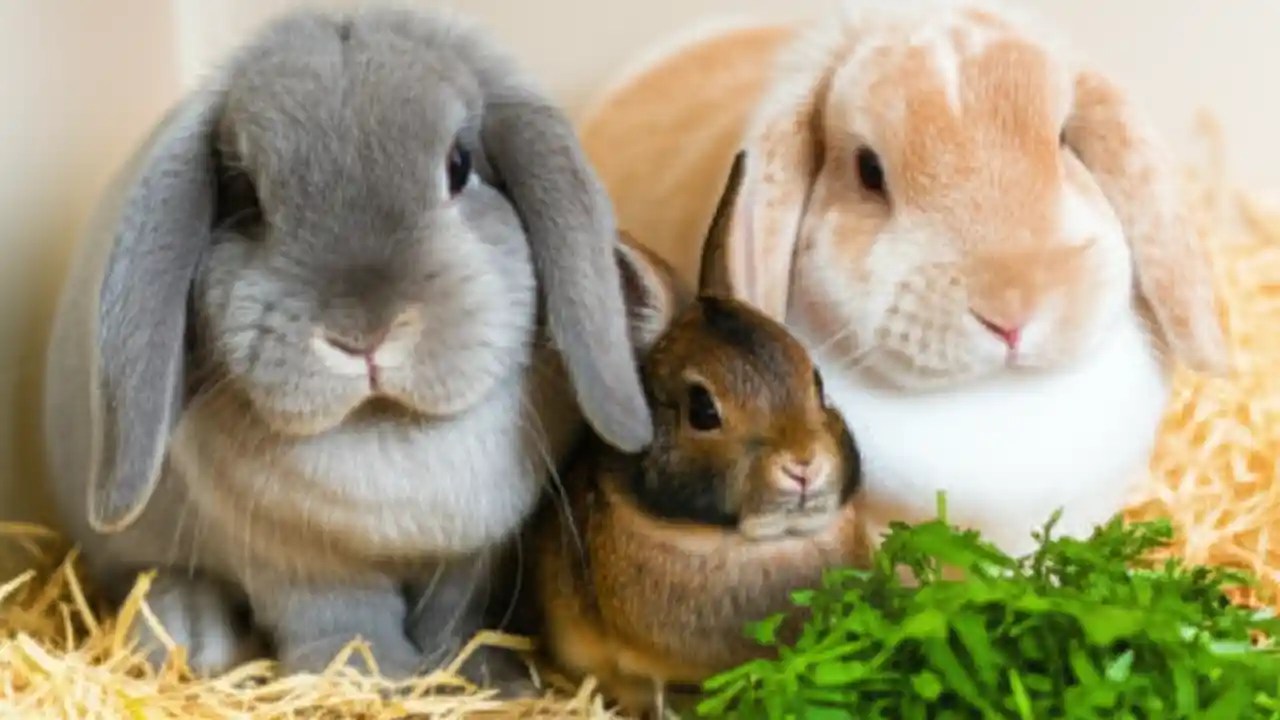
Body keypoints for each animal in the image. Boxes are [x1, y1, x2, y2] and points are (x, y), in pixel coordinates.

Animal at [40, 5, 656, 683]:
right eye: (246, 197)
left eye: (460, 165)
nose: (365, 335)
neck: (386, 433)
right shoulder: (297, 564)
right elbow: (343, 617)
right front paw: (373, 675)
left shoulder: (472, 556)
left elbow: (456, 615)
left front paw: (482, 674)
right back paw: (189, 635)